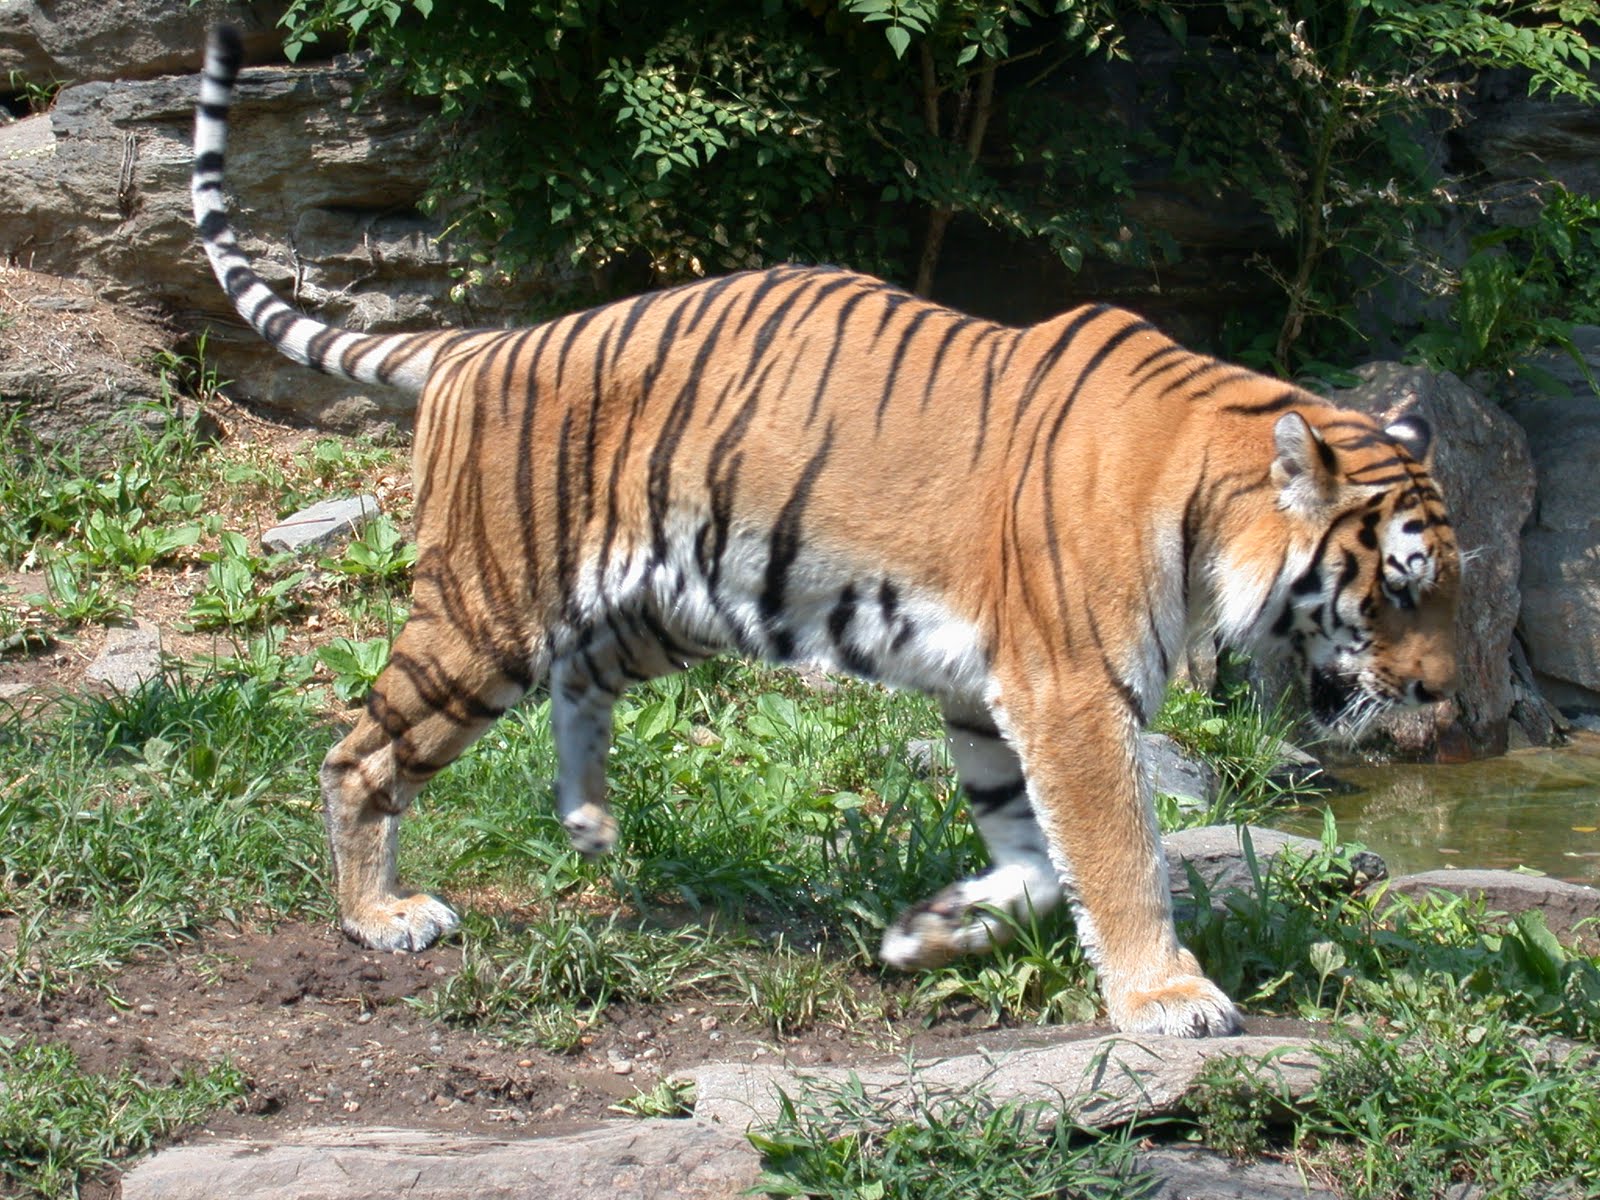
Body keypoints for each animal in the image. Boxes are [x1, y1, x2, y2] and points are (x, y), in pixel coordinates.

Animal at [191, 25, 1458, 1037]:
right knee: (361, 753)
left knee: (579, 679)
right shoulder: (1071, 694)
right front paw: (1169, 998)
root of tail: (481, 342)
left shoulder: (992, 693)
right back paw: (378, 914)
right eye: (1398, 587)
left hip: (668, 604)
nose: (1443, 701)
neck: (1207, 502)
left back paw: (590, 823)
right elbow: (1120, 857)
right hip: (488, 607)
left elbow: (1033, 858)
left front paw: (934, 931)